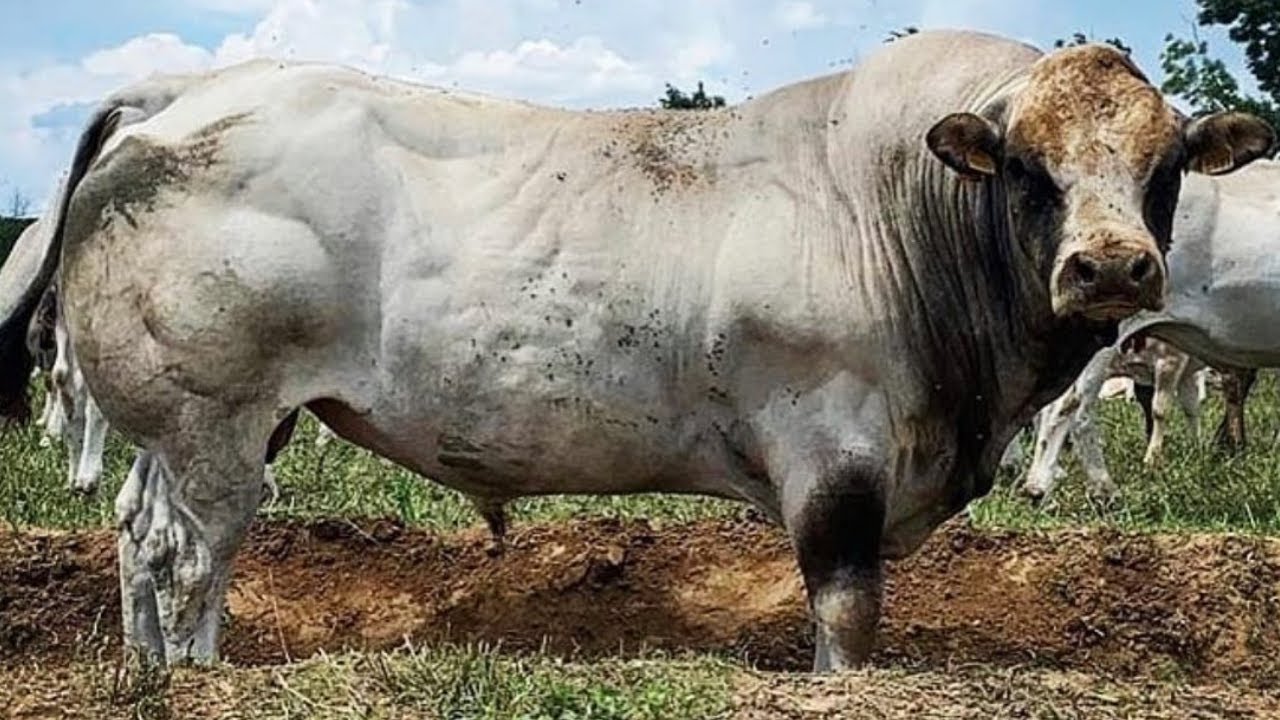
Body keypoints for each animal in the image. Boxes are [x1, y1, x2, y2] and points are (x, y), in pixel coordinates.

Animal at [0, 31, 1270, 670]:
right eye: (1023, 164)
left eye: (1162, 163)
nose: (1110, 269)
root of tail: (185, 88)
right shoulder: (833, 458)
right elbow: (845, 619)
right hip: (210, 425)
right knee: (183, 554)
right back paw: (194, 687)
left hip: (211, 429)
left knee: (149, 542)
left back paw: (171, 676)